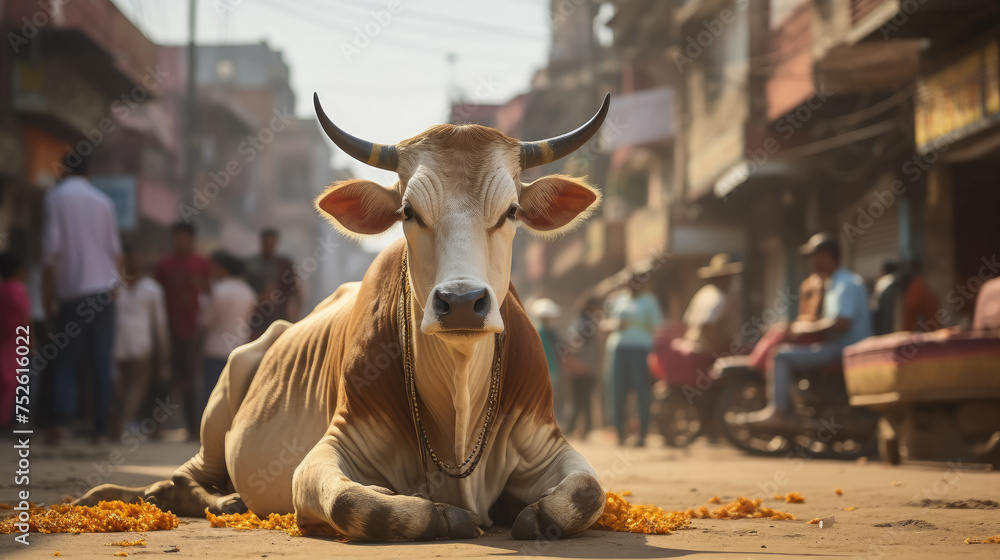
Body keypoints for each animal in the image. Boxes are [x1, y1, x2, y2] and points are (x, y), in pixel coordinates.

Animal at [76, 93, 612, 541]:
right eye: (408, 212)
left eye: (511, 211)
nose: (461, 302)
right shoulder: (332, 447)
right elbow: (357, 504)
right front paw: (444, 515)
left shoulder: (546, 440)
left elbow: (589, 493)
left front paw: (526, 513)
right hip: (222, 399)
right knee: (178, 481)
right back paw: (206, 499)